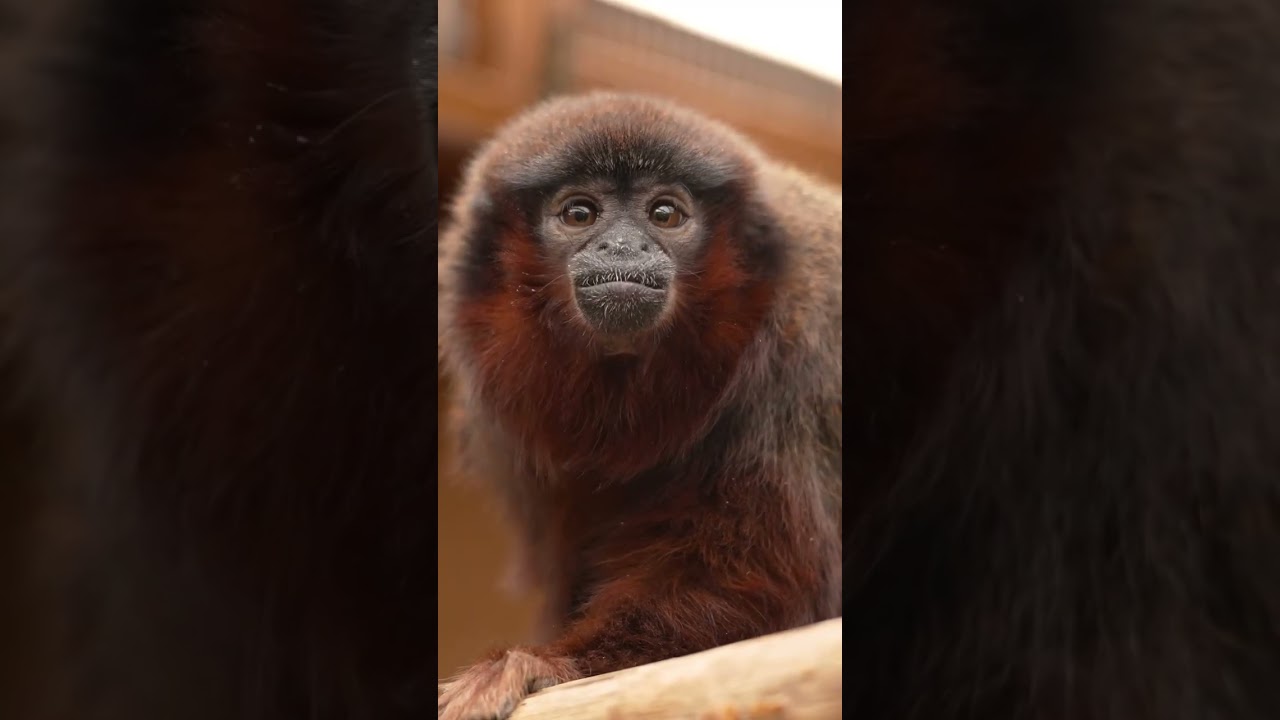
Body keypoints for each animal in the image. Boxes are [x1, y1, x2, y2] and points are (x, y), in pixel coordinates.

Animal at [436, 92, 843, 719]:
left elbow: (764, 584)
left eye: (664, 214)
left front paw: (545, 664)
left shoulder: (797, 363)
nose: (624, 246)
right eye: (580, 213)